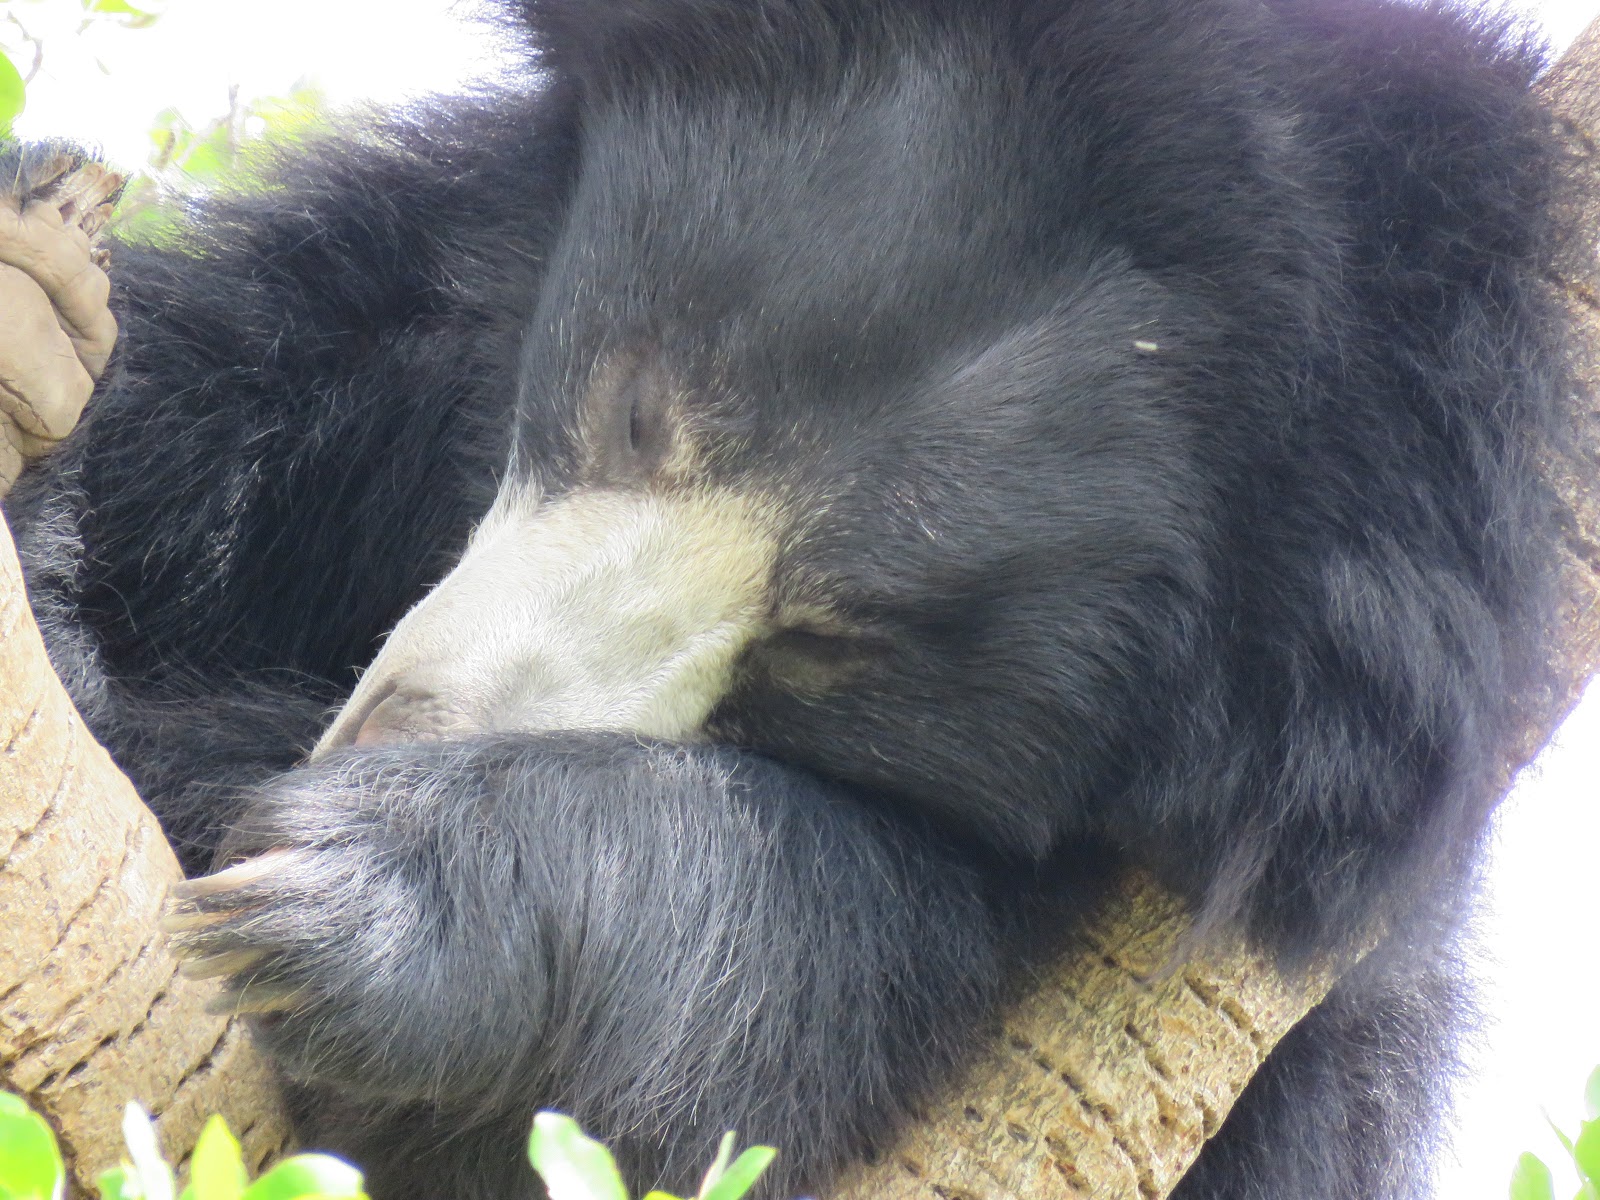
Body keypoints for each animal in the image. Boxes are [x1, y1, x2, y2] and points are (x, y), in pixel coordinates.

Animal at [0, 0, 1573, 1196]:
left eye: (835, 646)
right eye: (641, 410)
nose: (392, 734)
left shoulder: (1220, 955)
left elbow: (830, 965)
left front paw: (348, 885)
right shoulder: (371, 329)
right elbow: (193, 407)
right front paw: (49, 327)